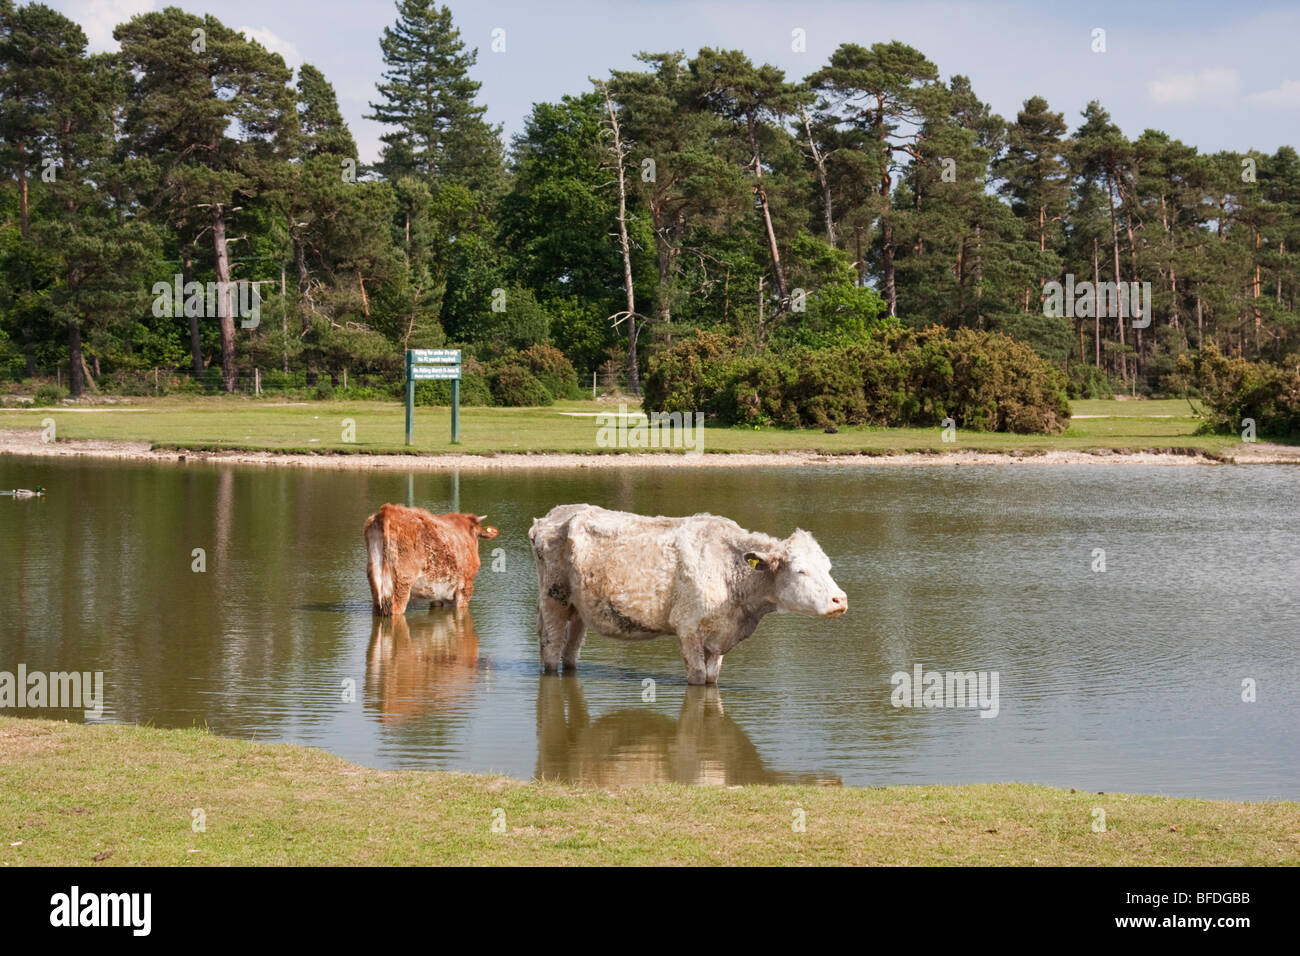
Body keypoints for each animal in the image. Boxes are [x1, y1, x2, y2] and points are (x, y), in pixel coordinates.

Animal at [528, 504, 847, 685]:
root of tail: (550, 516)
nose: (840, 600)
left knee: (571, 650)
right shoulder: (688, 627)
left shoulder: (719, 633)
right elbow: (697, 676)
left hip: (579, 608)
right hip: (553, 599)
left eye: (828, 567)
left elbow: (711, 678)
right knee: (551, 648)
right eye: (801, 571)